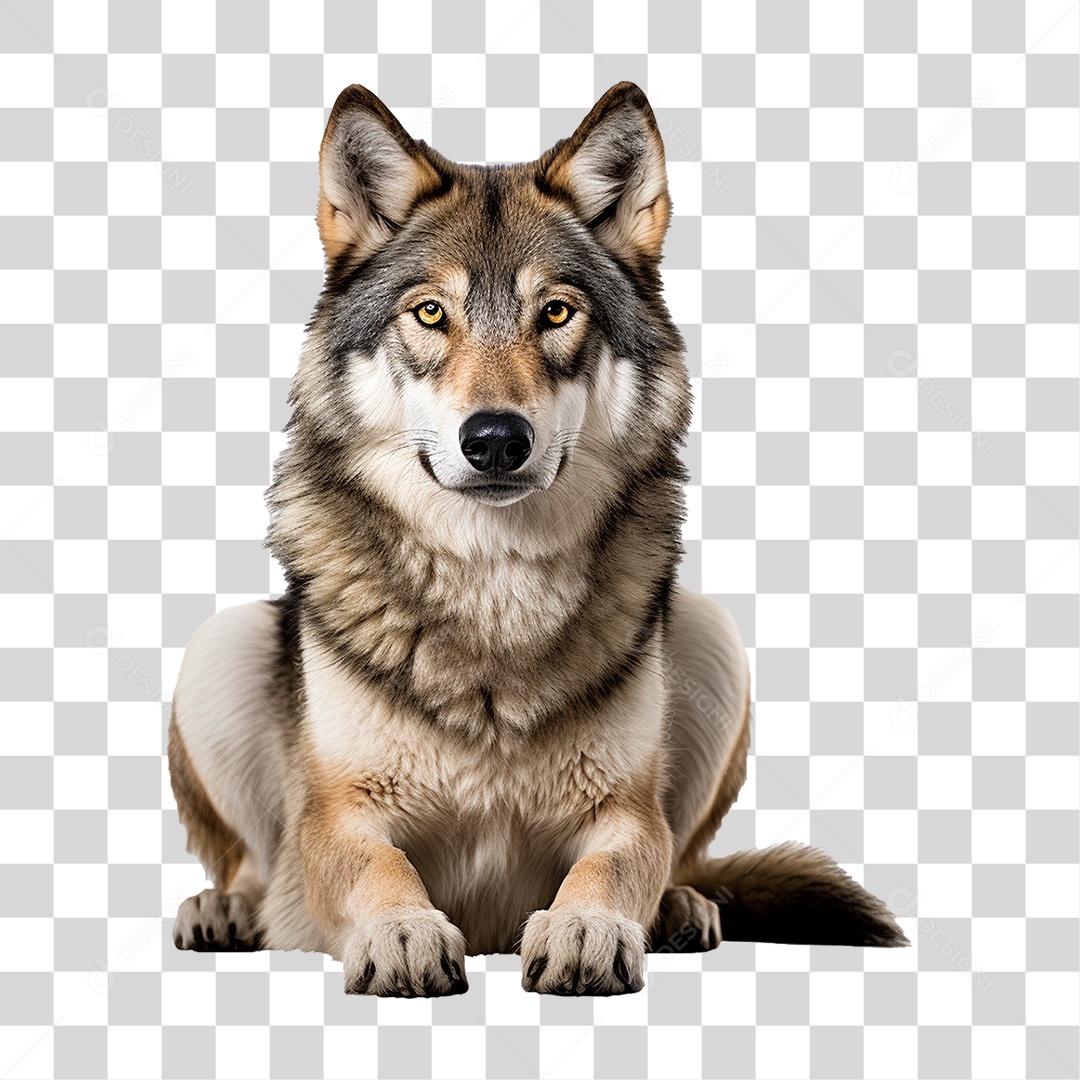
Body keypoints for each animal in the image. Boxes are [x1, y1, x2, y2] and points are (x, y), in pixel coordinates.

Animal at [168, 82, 908, 997]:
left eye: (555, 312)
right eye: (431, 313)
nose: (494, 439)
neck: (495, 582)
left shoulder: (626, 810)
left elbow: (622, 861)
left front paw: (587, 927)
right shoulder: (337, 814)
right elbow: (378, 866)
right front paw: (405, 932)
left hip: (712, 635)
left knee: (688, 857)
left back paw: (681, 909)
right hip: (218, 644)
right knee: (246, 860)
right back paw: (227, 911)